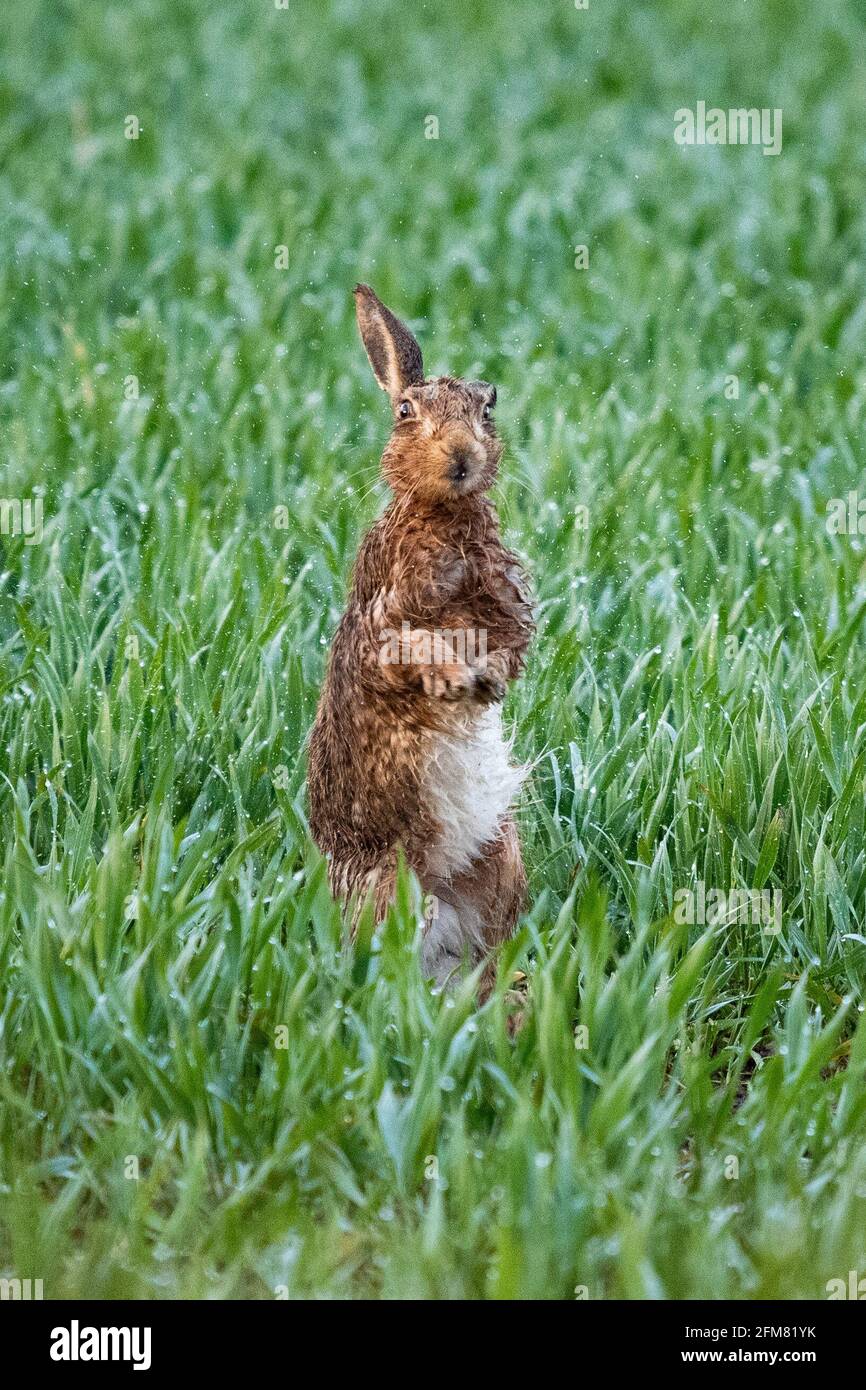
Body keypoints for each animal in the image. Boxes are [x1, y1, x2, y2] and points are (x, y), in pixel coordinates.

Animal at [307, 285, 534, 993]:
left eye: (489, 404)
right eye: (406, 412)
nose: (461, 459)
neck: (442, 515)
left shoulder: (506, 605)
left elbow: (512, 645)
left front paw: (489, 681)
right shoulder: (387, 624)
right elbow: (416, 653)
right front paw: (462, 680)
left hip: (502, 857)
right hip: (391, 881)